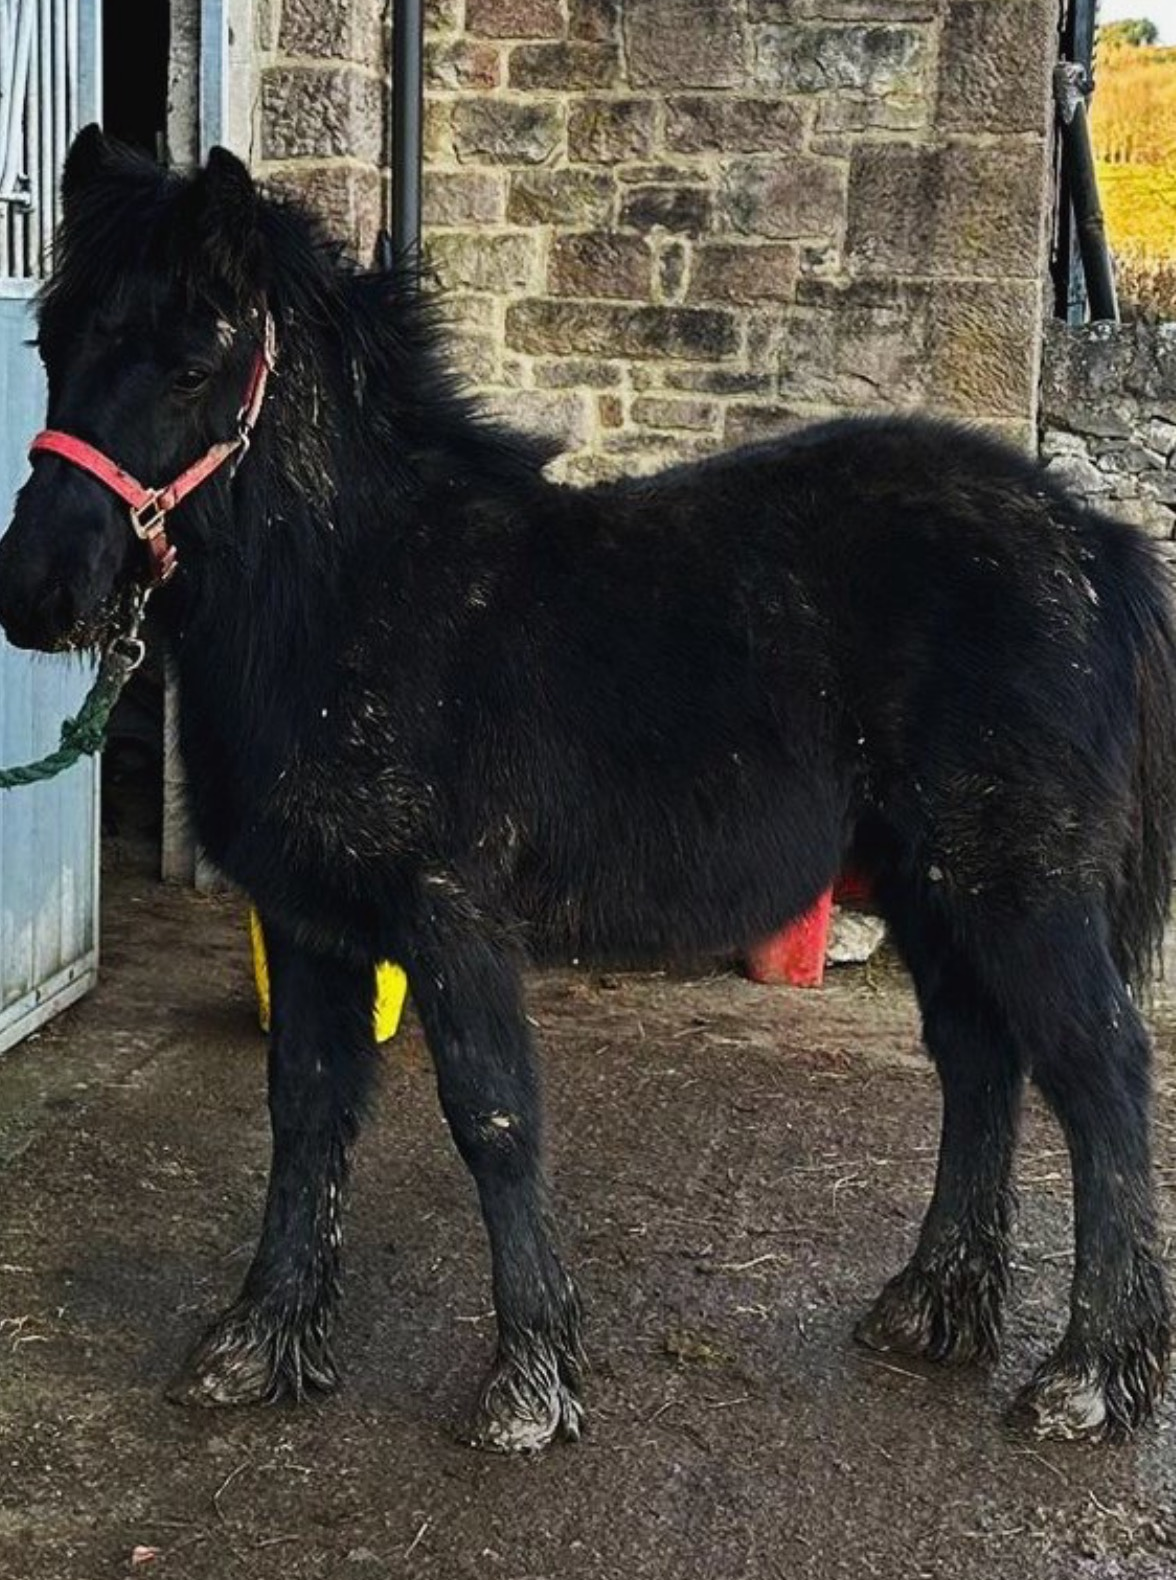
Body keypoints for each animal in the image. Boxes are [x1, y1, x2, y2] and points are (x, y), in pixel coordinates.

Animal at [1, 126, 1174, 1453]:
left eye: (194, 364)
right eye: (54, 346)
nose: (37, 588)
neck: (360, 590)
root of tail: (1093, 542)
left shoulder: (451, 915)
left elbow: (493, 1116)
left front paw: (528, 1381)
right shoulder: (310, 924)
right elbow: (304, 1109)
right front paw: (260, 1341)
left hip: (1019, 889)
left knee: (1100, 1073)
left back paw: (1091, 1372)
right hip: (934, 892)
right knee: (981, 1064)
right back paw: (933, 1309)